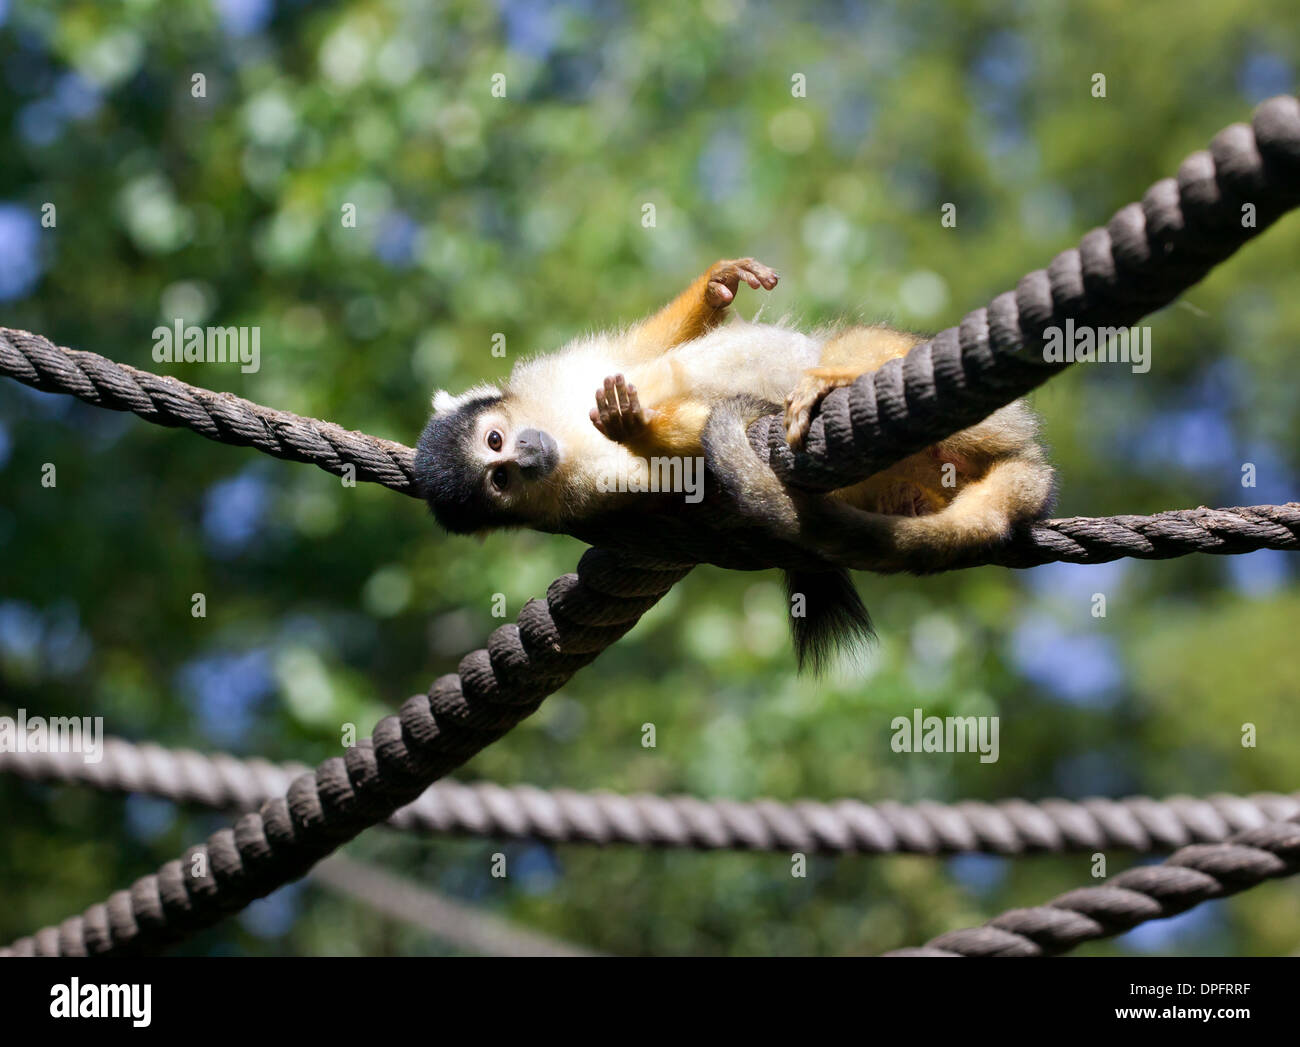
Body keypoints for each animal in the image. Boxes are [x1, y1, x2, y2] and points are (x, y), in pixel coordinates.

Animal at [414, 258, 1054, 672]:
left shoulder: (555, 374)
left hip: (995, 421)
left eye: (497, 440)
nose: (527, 455)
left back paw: (833, 377)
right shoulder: (582, 499)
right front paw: (639, 431)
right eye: (499, 477)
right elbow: (686, 477)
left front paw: (716, 285)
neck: (563, 436)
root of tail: (1028, 459)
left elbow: (644, 351)